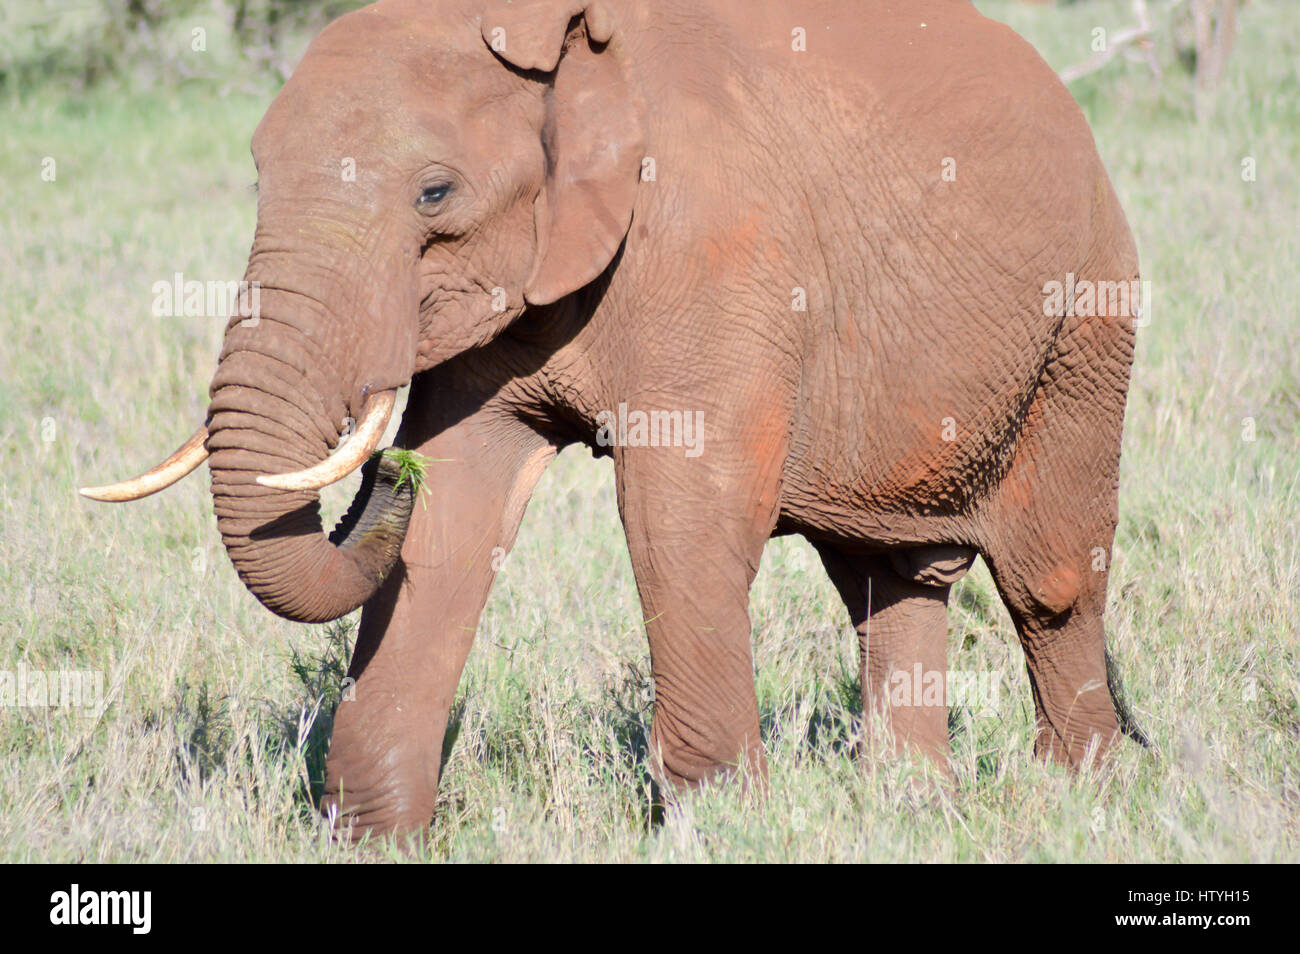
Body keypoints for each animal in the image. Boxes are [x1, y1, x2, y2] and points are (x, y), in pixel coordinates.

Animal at [83, 0, 1147, 839]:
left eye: (434, 193)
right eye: (259, 180)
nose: (382, 470)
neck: (545, 39)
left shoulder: (713, 246)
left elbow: (681, 518)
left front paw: (724, 828)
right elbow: (458, 511)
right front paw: (376, 836)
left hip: (1085, 324)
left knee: (1050, 577)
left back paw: (1082, 799)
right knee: (891, 578)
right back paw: (914, 810)